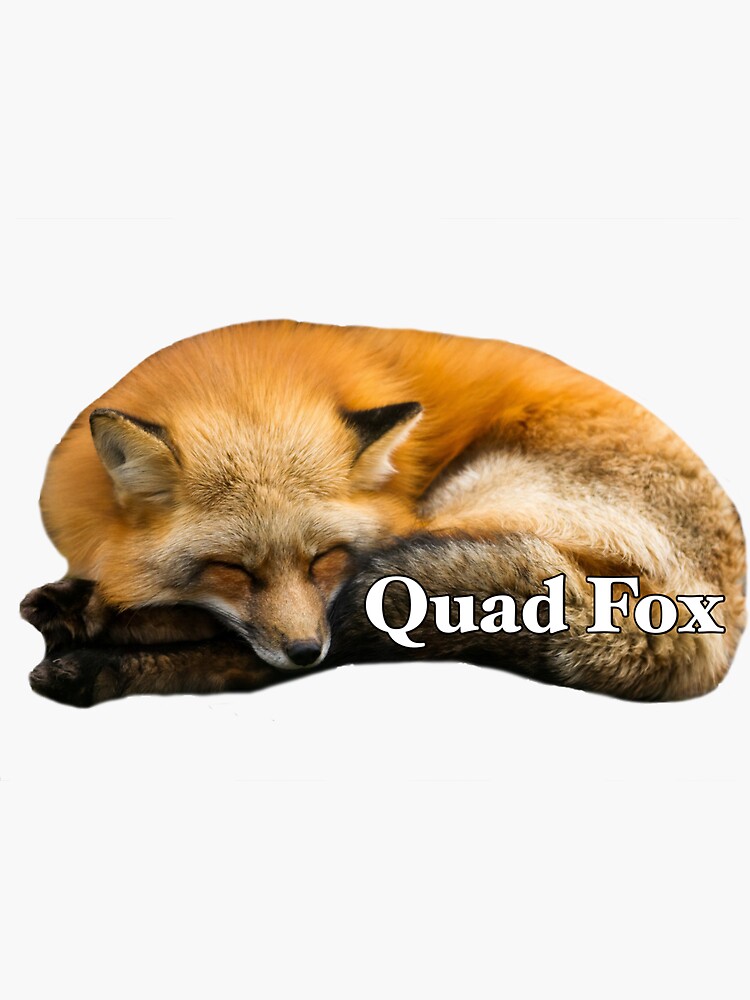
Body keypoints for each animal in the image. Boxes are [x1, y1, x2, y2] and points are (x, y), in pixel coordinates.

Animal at [21, 319, 745, 706]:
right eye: (232, 569)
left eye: (323, 557)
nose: (303, 651)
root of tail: (714, 613)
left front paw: (95, 617)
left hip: (460, 515)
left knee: (301, 650)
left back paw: (87, 653)